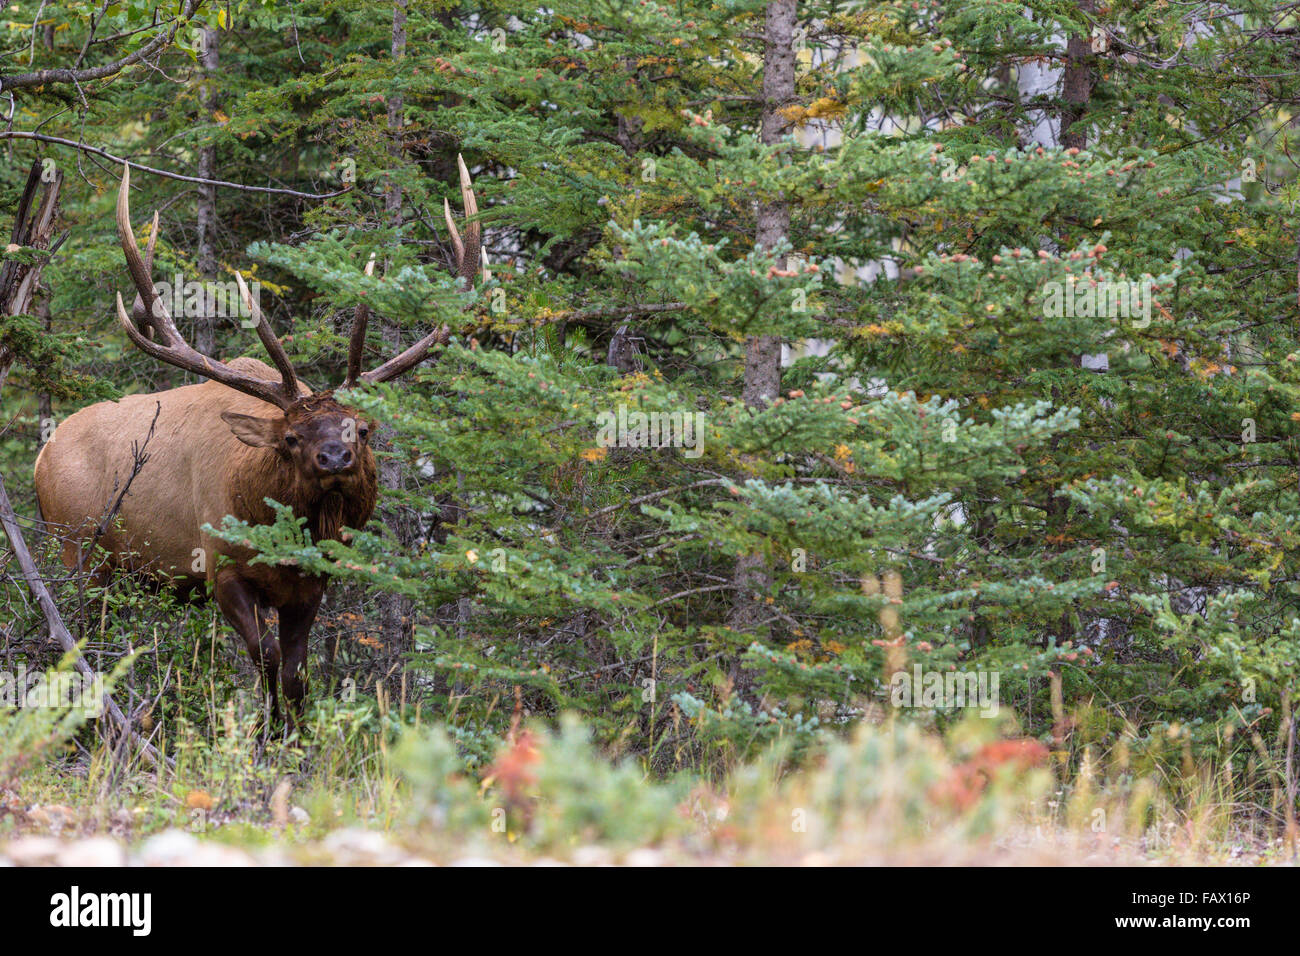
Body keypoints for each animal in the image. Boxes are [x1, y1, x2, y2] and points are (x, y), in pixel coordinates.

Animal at [34, 160, 481, 732]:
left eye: (360, 429)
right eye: (291, 438)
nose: (335, 459)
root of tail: (42, 455)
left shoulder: (312, 585)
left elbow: (297, 673)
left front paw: (294, 737)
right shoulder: (219, 567)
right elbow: (265, 657)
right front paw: (263, 735)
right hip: (76, 549)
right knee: (74, 636)